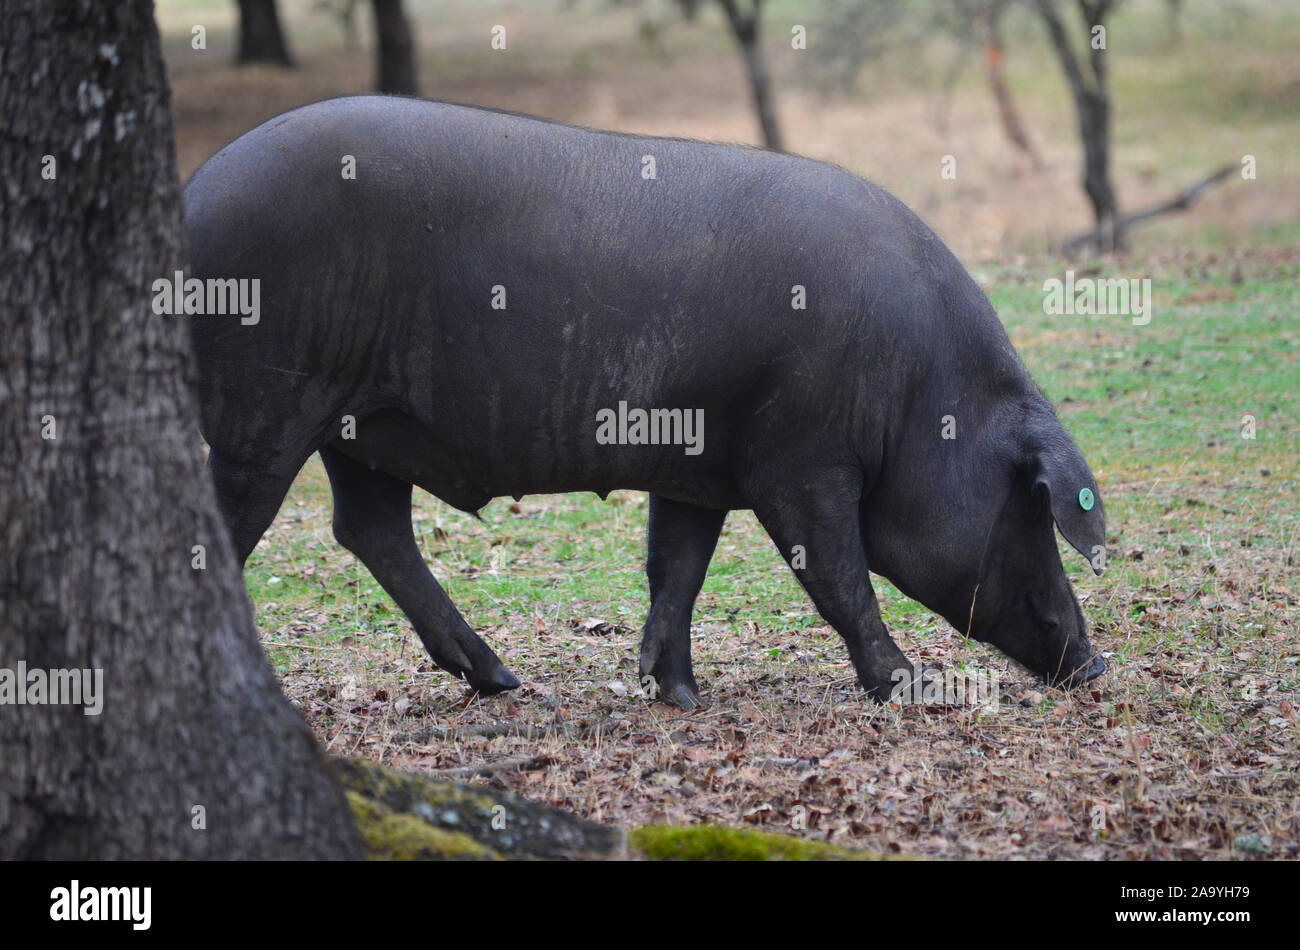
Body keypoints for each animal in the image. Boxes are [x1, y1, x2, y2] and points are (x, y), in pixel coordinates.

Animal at [183, 95, 1108, 709]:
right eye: (1031, 506)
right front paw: (914, 686)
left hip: (360, 425)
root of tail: (191, 197)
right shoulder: (799, 460)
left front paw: (678, 694)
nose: (1095, 663)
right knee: (235, 525)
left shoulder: (697, 466)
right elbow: (838, 575)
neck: (924, 392)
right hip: (271, 401)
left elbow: (677, 568)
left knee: (370, 530)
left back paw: (503, 680)